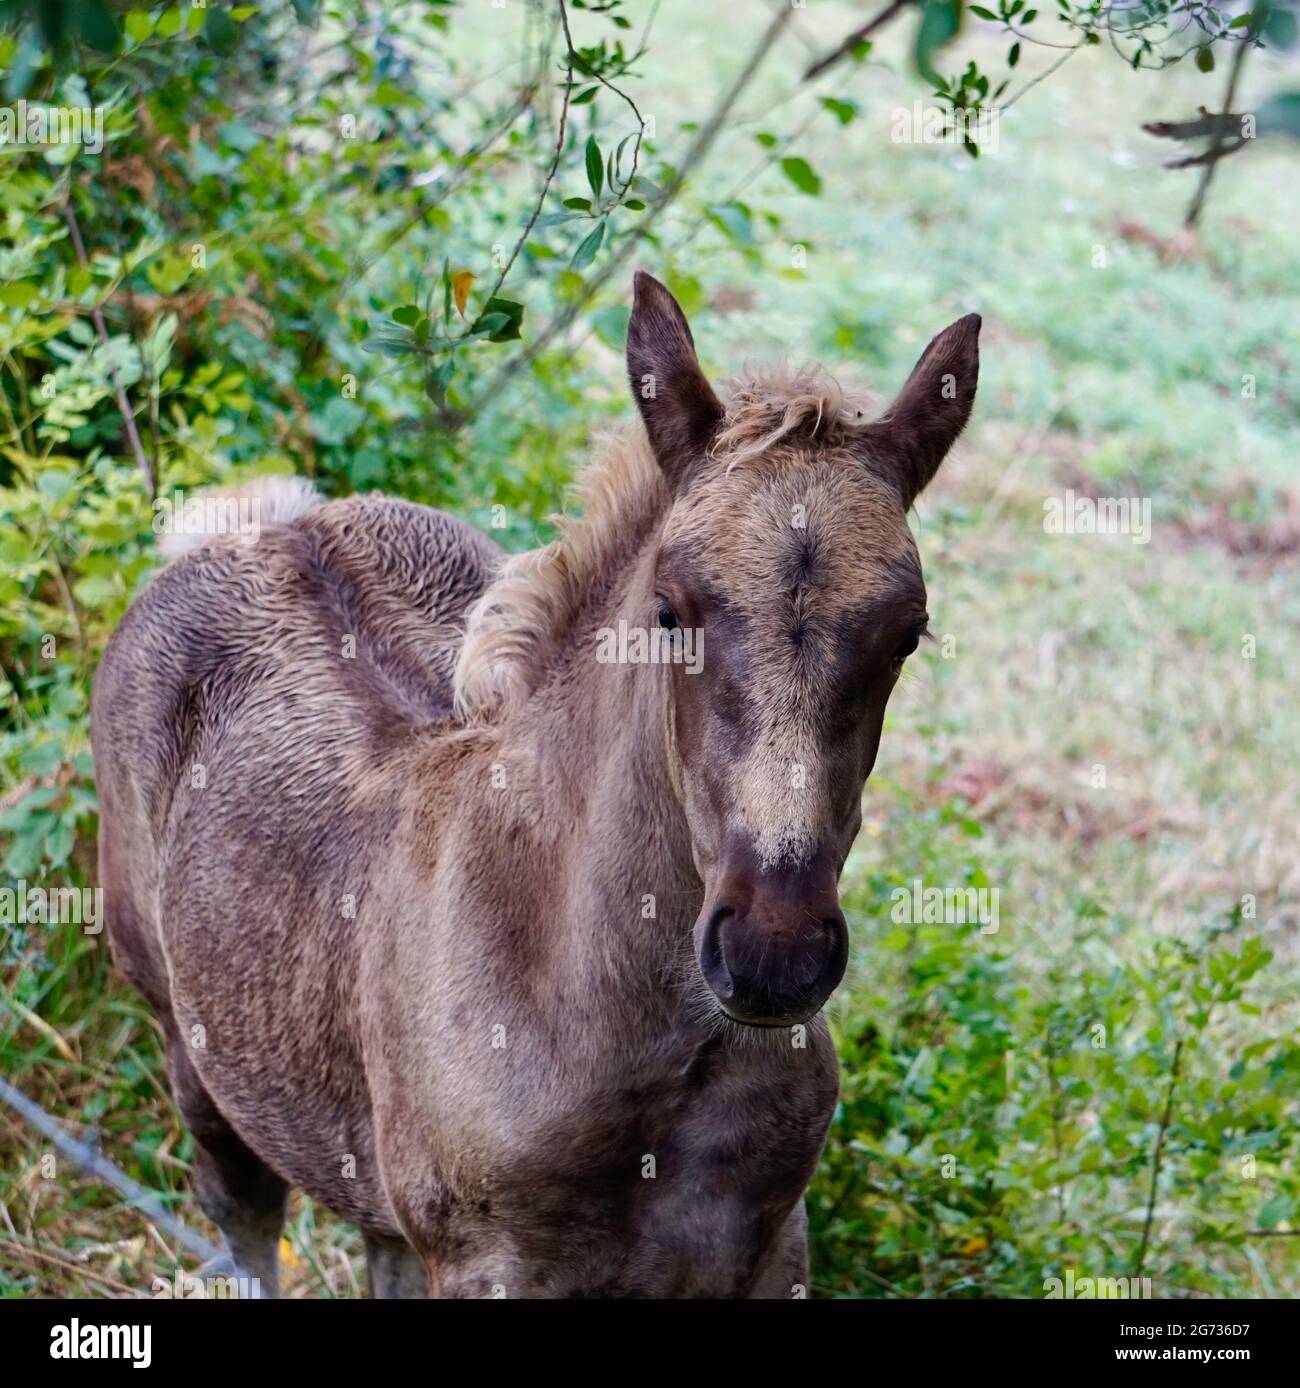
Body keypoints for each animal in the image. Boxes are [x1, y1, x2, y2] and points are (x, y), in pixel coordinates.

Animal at [92, 272, 979, 1297]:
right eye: (669, 610)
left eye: (906, 634)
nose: (773, 952)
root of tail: (267, 523)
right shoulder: (493, 1267)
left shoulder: (773, 1251)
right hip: (192, 1053)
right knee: (244, 1221)